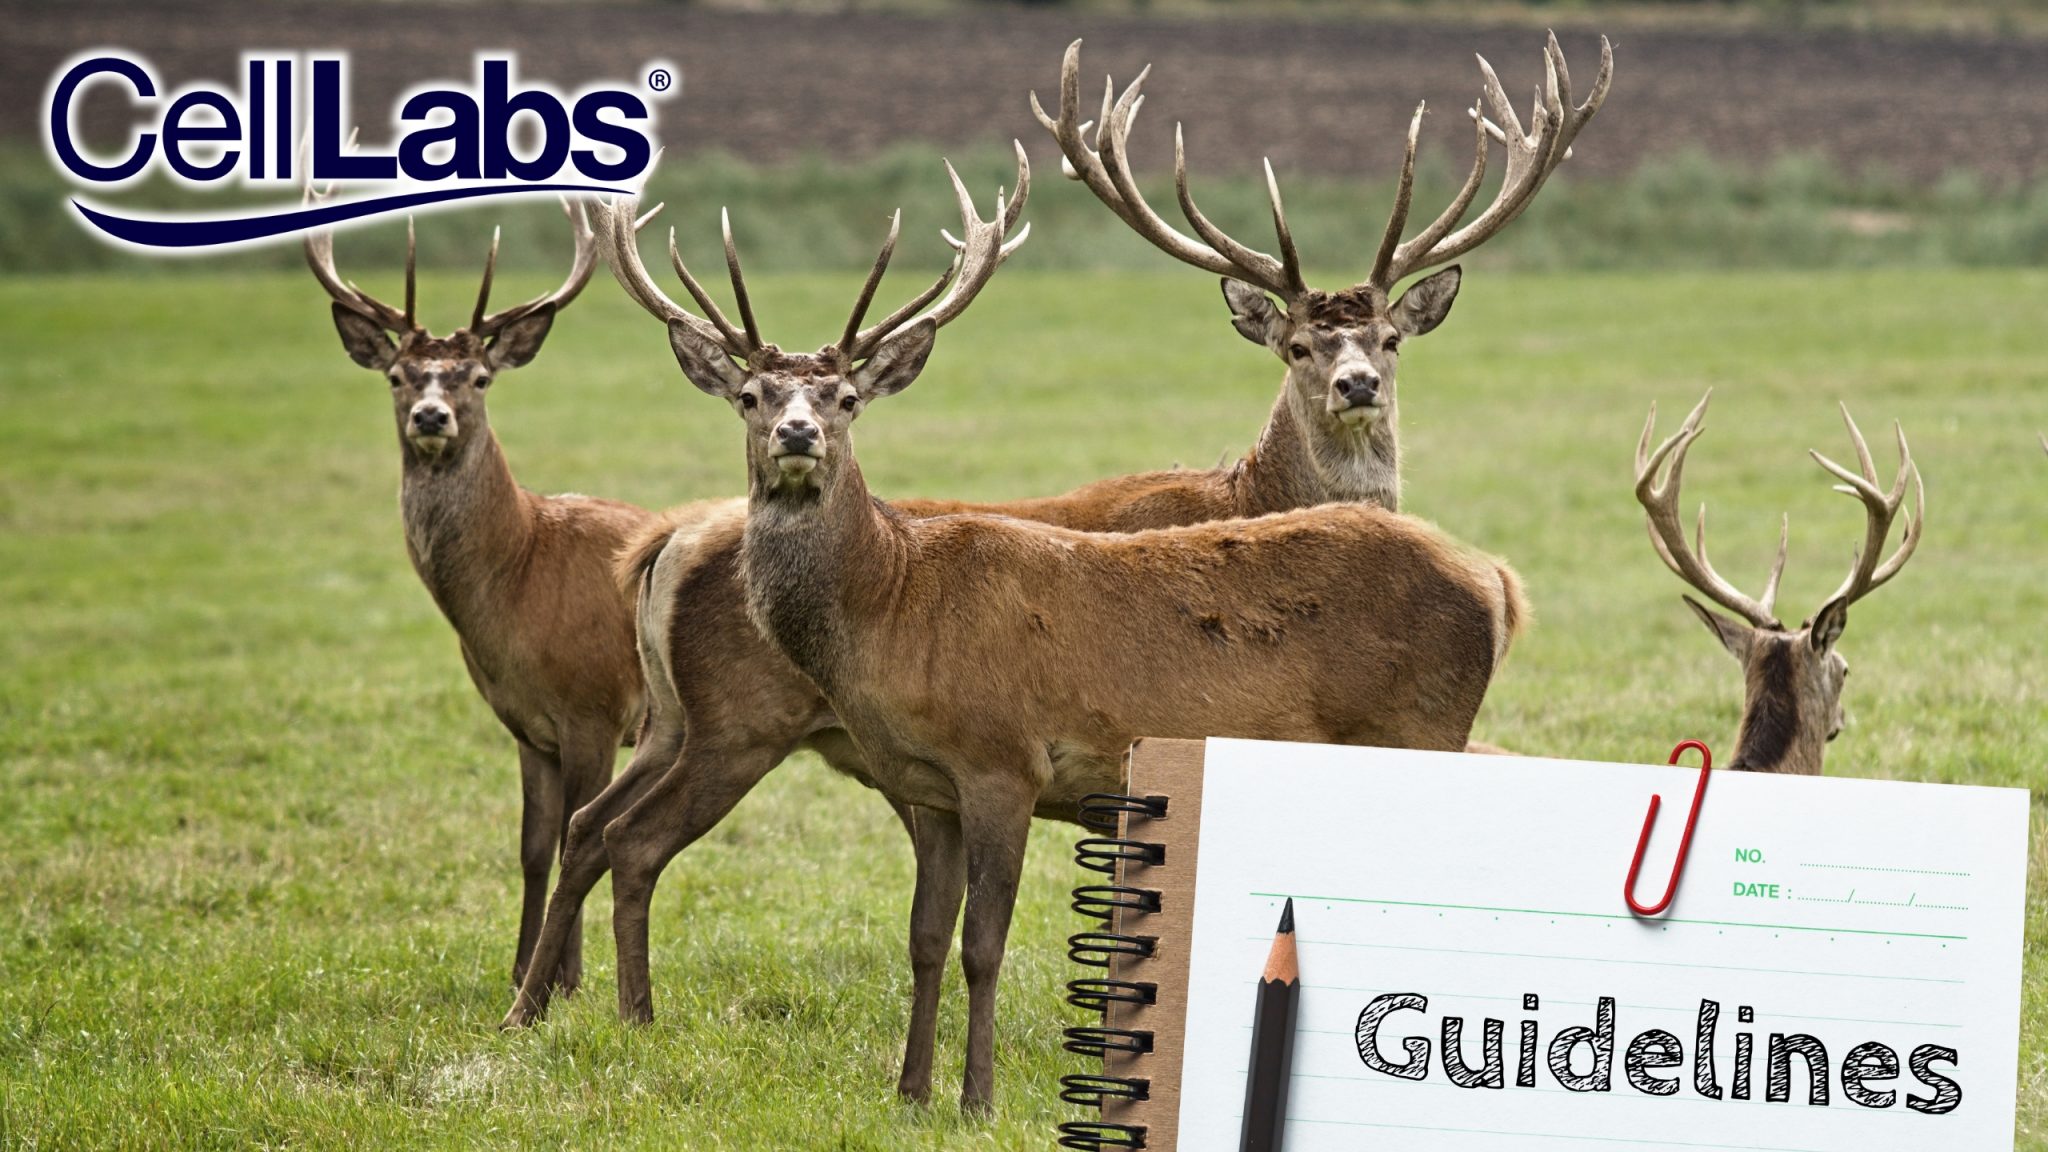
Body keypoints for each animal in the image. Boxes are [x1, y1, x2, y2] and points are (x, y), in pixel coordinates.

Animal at [305, 189, 697, 995]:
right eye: (397, 375)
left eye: (478, 378)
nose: (432, 416)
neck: (518, 583)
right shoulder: (525, 726)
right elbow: (532, 845)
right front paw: (520, 971)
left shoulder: (593, 709)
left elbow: (583, 832)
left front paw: (565, 979)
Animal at [502, 35, 1606, 1104]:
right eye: (750, 395)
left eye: (848, 398)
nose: (797, 436)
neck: (892, 604)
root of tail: (1495, 582)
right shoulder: (933, 786)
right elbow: (925, 938)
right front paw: (914, 1093)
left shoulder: (1005, 760)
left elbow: (982, 946)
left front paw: (978, 1098)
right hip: (709, 722)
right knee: (607, 832)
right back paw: (560, 1014)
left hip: (1414, 727)